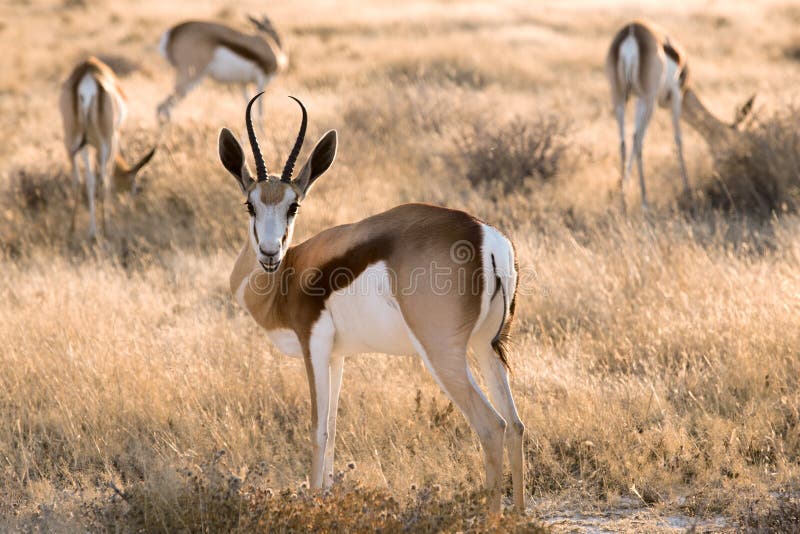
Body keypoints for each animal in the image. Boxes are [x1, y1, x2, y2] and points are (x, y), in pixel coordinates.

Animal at [59, 57, 156, 238]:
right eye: (132, 181)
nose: (136, 191)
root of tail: (88, 78)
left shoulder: (88, 145)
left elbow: (92, 177)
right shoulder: (114, 138)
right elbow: (108, 176)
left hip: (71, 140)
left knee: (80, 179)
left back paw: (75, 229)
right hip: (106, 141)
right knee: (103, 179)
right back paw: (105, 227)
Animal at [157, 16, 287, 121]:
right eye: (274, 31)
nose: (282, 45)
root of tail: (173, 32)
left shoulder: (242, 84)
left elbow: (250, 112)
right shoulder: (261, 80)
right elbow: (260, 113)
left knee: (162, 107)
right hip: (191, 77)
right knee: (163, 108)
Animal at [220, 93, 525, 513]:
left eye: (293, 206)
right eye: (250, 204)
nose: (269, 253)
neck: (288, 276)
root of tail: (485, 236)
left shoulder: (313, 345)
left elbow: (317, 430)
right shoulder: (337, 355)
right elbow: (333, 430)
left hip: (442, 354)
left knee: (492, 426)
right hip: (485, 347)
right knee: (516, 425)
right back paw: (522, 517)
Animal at [606, 20, 754, 210]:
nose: (733, 165)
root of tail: (631, 31)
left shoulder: (640, 100)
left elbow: (634, 139)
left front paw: (623, 190)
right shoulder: (676, 96)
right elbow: (678, 140)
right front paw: (688, 192)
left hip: (620, 96)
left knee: (625, 142)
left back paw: (624, 202)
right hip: (649, 99)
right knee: (638, 139)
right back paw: (645, 201)